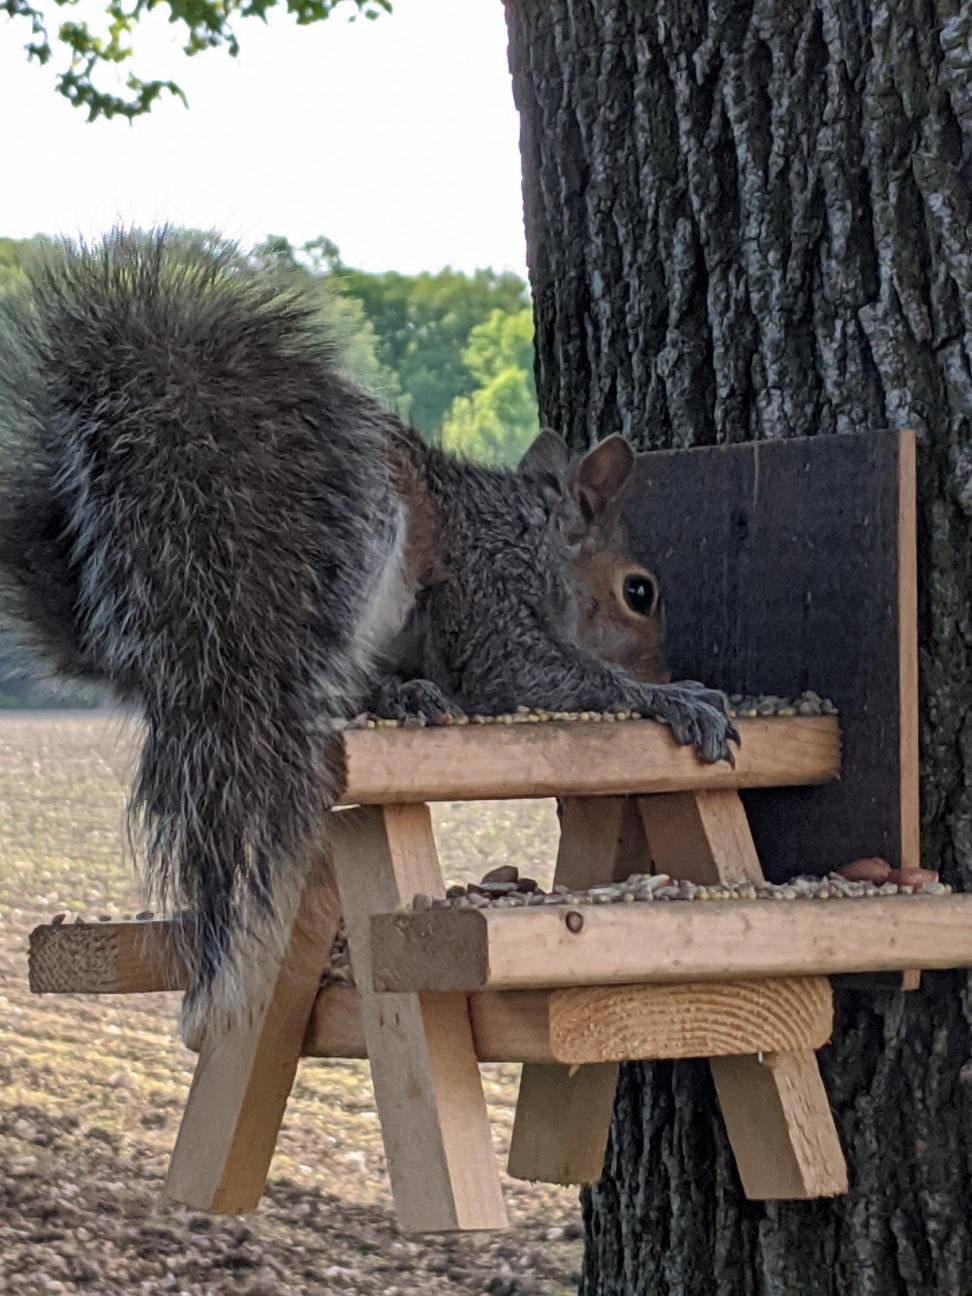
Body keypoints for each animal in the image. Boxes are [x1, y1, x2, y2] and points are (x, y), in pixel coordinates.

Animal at [0, 229, 737, 1040]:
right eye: (639, 593)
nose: (663, 670)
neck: (522, 533)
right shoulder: (488, 595)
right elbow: (531, 674)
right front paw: (679, 700)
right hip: (352, 559)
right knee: (320, 691)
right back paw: (390, 697)